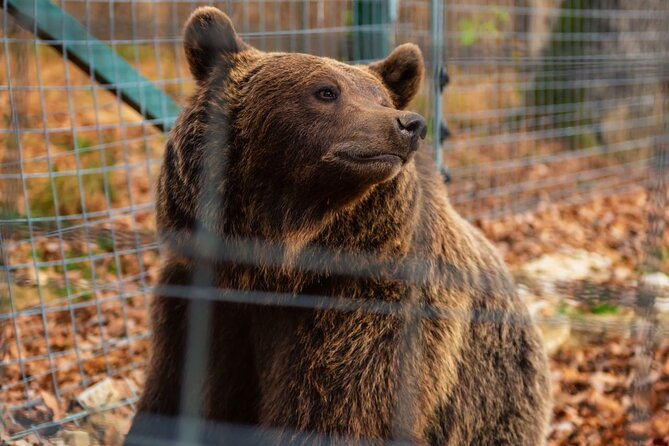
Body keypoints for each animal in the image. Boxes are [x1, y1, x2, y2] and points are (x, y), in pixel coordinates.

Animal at [125, 6, 551, 446]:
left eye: (380, 97)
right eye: (326, 91)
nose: (408, 124)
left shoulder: (368, 312)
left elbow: (333, 411)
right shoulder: (200, 301)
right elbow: (172, 396)